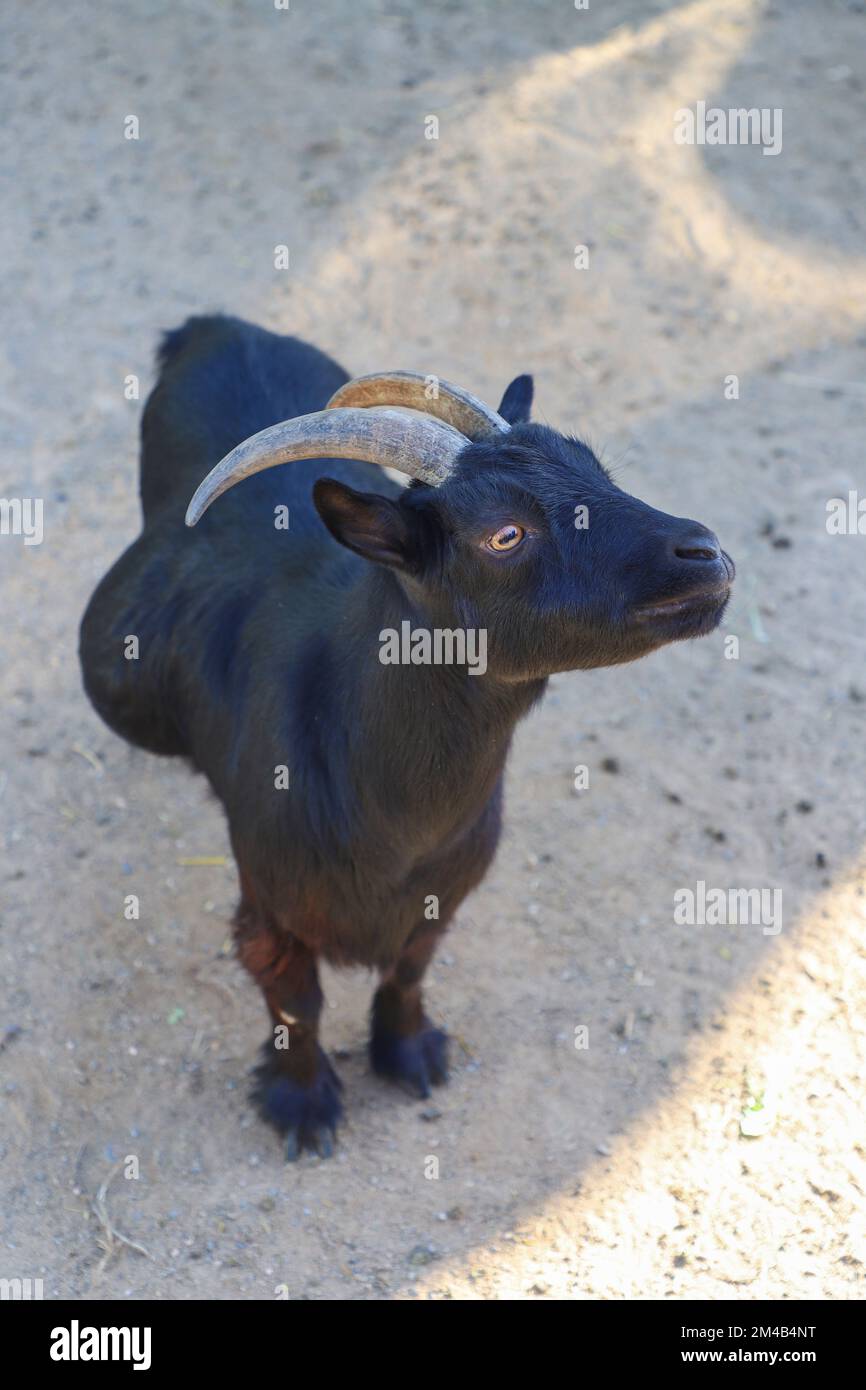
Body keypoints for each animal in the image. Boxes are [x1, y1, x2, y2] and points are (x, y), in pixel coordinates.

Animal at [80, 314, 734, 1158]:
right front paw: (303, 1108)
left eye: (598, 470)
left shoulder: (441, 893)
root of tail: (218, 325)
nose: (705, 554)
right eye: (505, 535)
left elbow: (410, 971)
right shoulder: (272, 899)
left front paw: (411, 1055)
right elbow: (295, 1000)